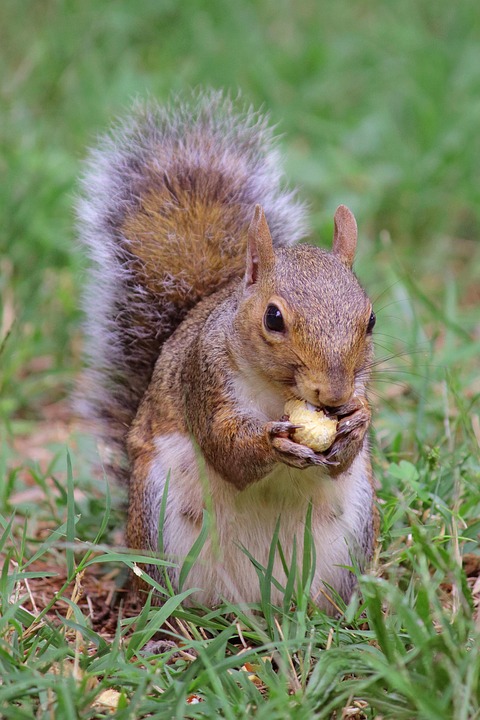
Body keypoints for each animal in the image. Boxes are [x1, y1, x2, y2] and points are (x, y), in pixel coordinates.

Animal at [77, 91, 377, 613]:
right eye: (273, 318)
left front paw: (356, 423)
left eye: (371, 320)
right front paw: (273, 442)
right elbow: (226, 450)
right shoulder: (204, 377)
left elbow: (343, 456)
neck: (279, 393)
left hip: (351, 537)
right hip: (156, 524)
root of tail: (254, 606)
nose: (336, 396)